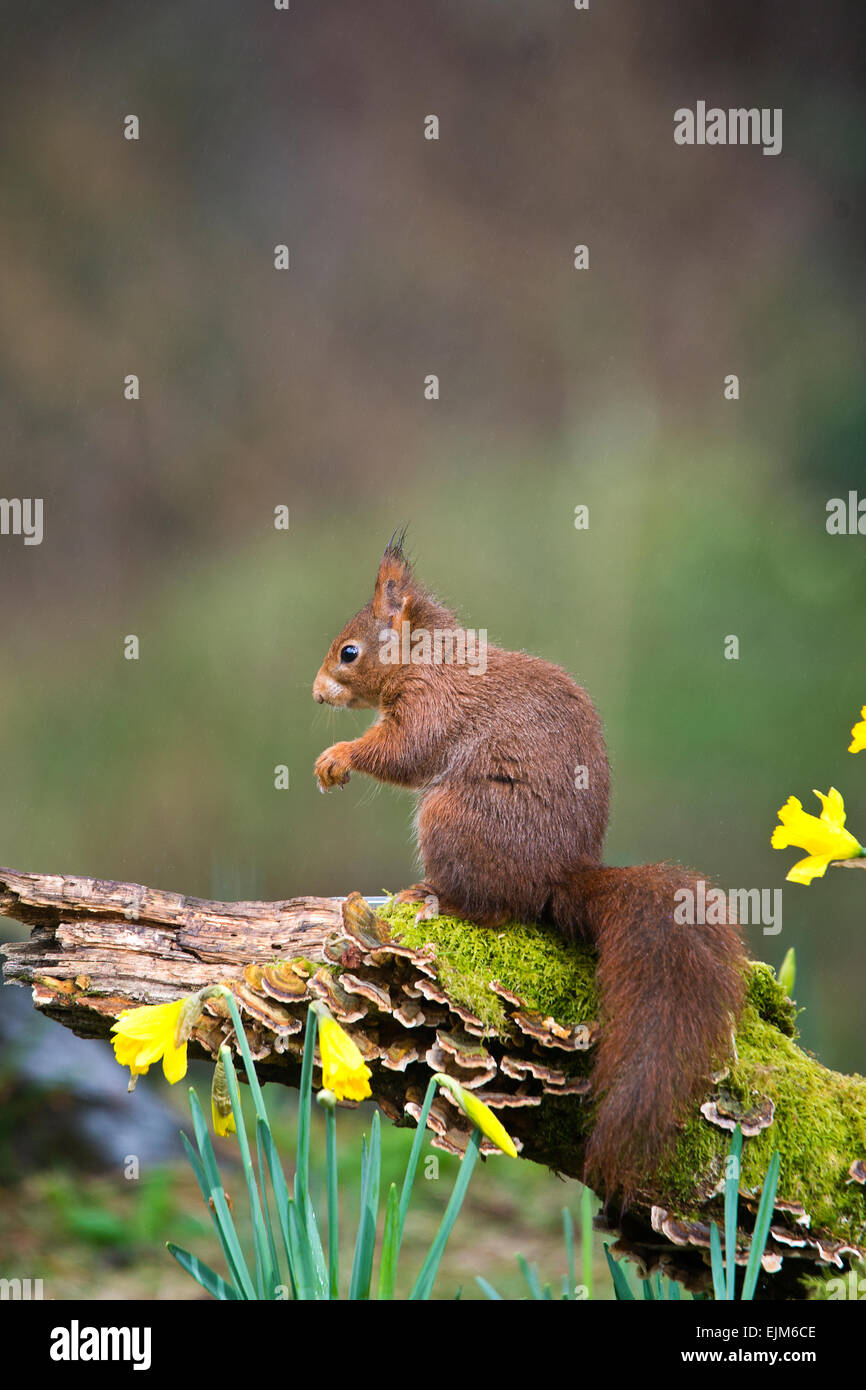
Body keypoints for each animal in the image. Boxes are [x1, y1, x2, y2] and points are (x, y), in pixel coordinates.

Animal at [312, 535, 746, 1195]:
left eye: (349, 652)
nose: (314, 693)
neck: (428, 660)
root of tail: (559, 876)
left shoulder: (431, 707)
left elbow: (402, 752)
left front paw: (337, 756)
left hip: (453, 817)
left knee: (494, 912)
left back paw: (431, 896)